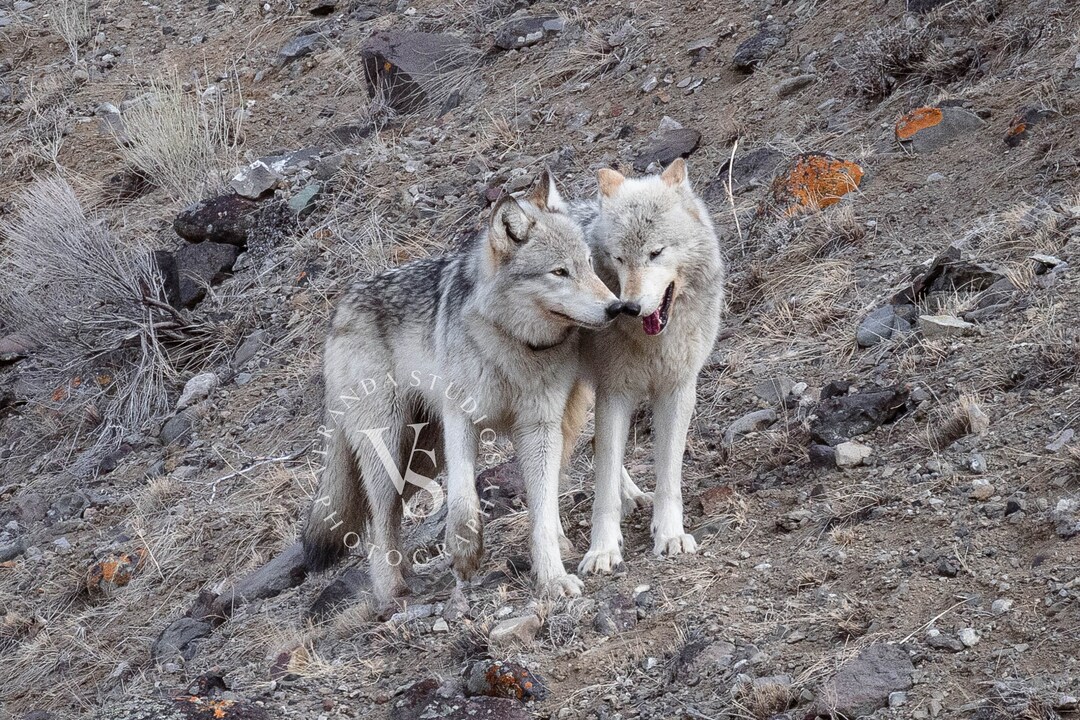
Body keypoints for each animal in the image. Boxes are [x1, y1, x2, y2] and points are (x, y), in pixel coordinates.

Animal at [301, 171, 624, 606]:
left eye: (588, 264)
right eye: (559, 272)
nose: (616, 307)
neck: (512, 344)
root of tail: (340, 307)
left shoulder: (540, 429)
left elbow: (542, 511)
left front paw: (553, 579)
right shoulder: (460, 418)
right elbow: (463, 499)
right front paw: (466, 554)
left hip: (421, 456)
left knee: (390, 512)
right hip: (391, 444)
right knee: (380, 516)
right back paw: (391, 591)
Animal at [571, 158, 726, 575]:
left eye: (656, 253)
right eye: (619, 257)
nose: (629, 307)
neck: (654, 343)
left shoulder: (677, 390)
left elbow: (668, 476)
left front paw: (670, 535)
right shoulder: (614, 394)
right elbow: (603, 486)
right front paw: (602, 550)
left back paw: (636, 497)